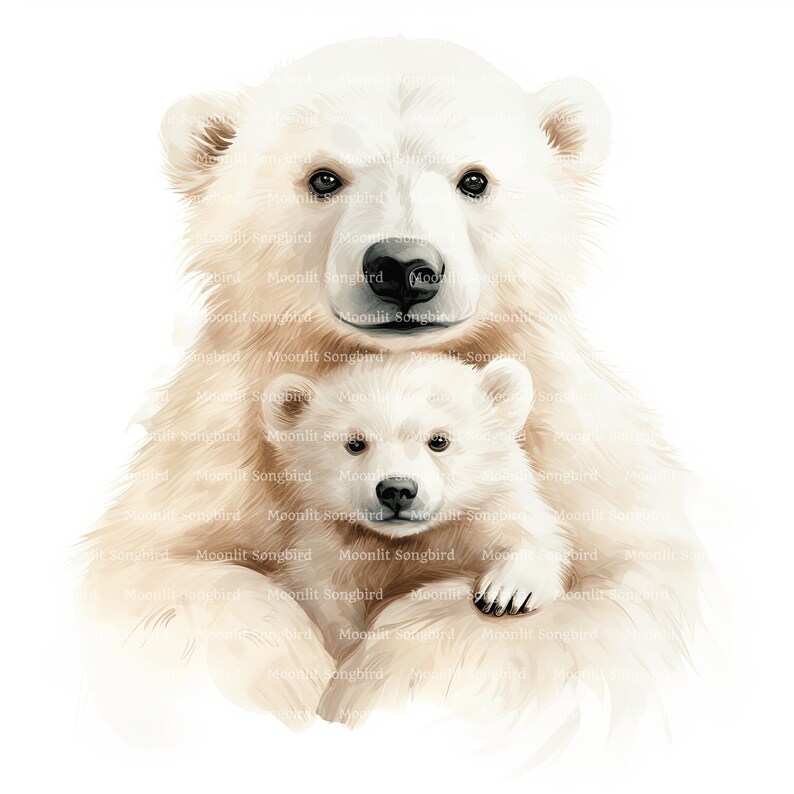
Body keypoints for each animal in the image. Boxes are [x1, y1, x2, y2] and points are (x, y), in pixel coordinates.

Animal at [258, 354, 571, 661]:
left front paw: (507, 592)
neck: (408, 543)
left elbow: (533, 533)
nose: (397, 489)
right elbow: (323, 594)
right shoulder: (334, 545)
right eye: (355, 443)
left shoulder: (485, 513)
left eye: (439, 440)